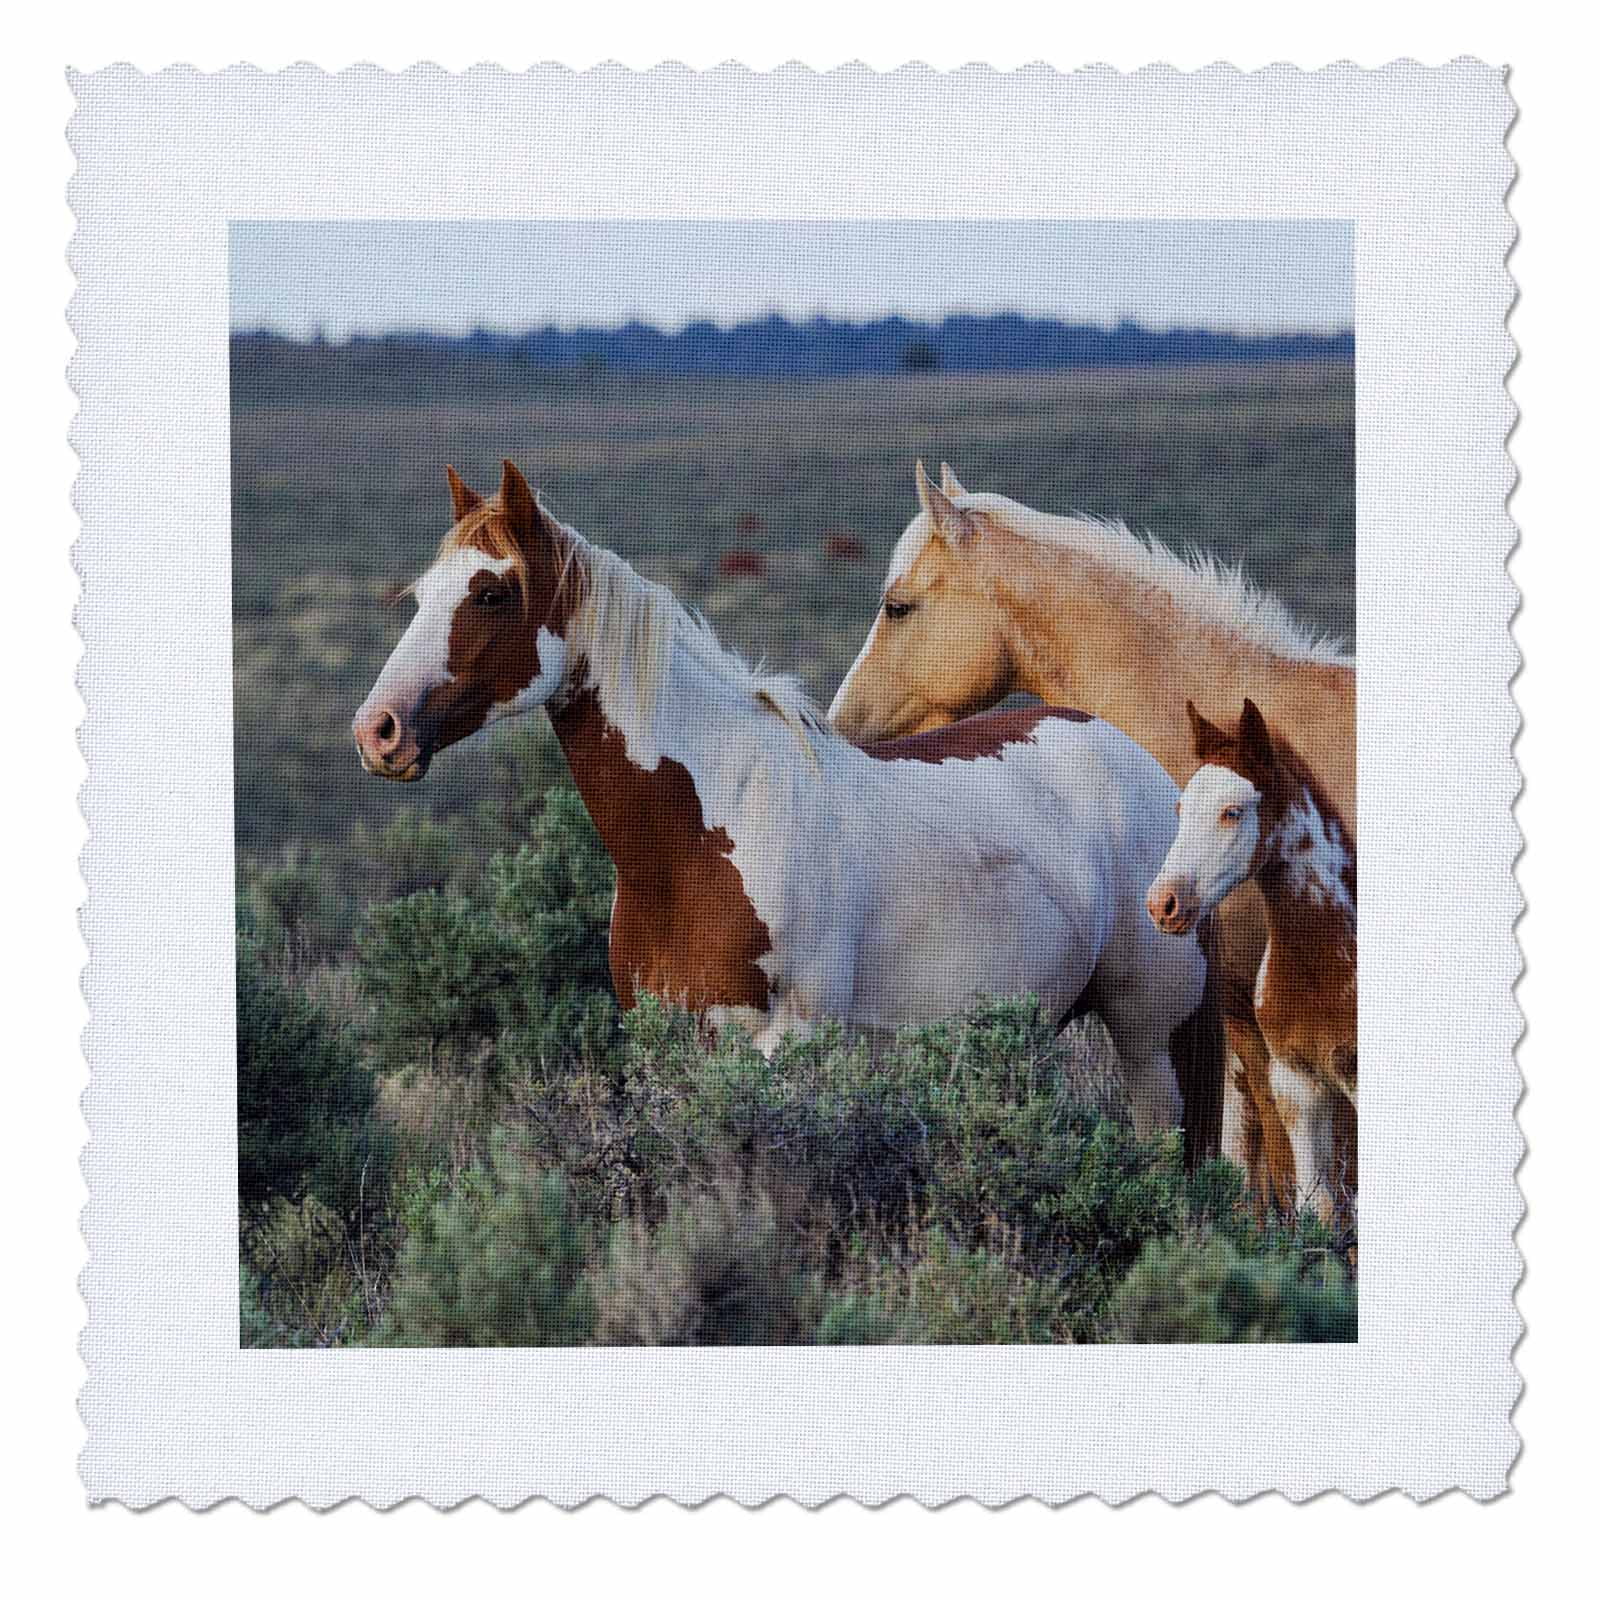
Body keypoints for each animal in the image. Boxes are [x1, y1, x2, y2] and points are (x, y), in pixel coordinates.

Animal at [352, 460, 1224, 1146]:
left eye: (492, 593)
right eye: (422, 594)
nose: (378, 732)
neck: (704, 836)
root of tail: (1149, 769)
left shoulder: (784, 1046)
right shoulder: (671, 1049)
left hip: (1149, 1040)